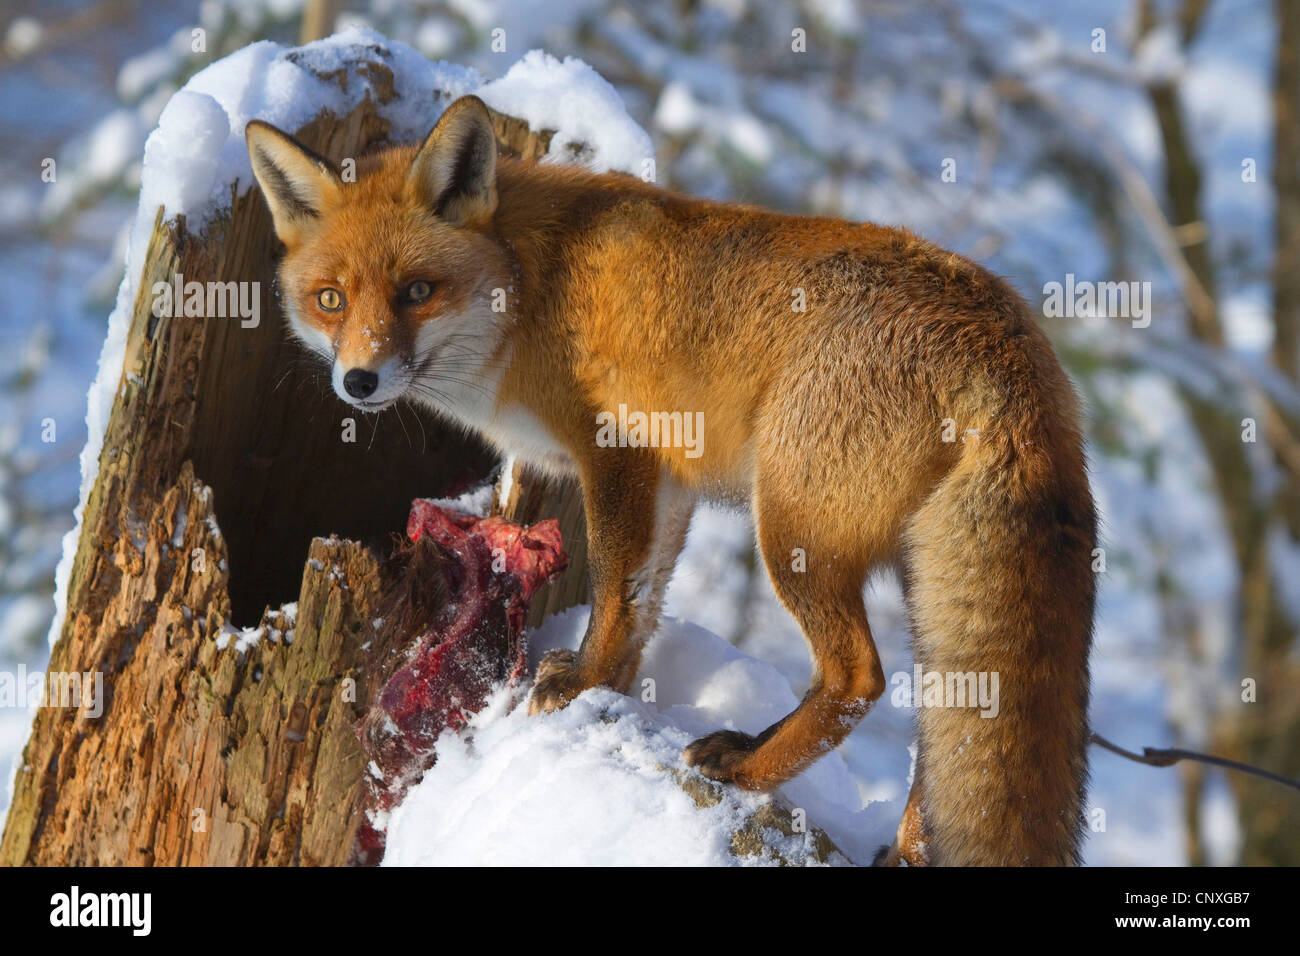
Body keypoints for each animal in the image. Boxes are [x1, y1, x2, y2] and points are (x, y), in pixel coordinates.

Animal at [245, 94, 1097, 866]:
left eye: (418, 291)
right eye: (331, 299)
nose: (359, 381)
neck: (528, 288)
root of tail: (1011, 341)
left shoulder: (618, 447)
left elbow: (615, 590)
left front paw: (581, 684)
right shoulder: (670, 483)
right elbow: (642, 603)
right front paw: (614, 690)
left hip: (793, 534)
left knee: (860, 677)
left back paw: (746, 767)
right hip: (916, 579)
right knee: (951, 724)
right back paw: (909, 848)